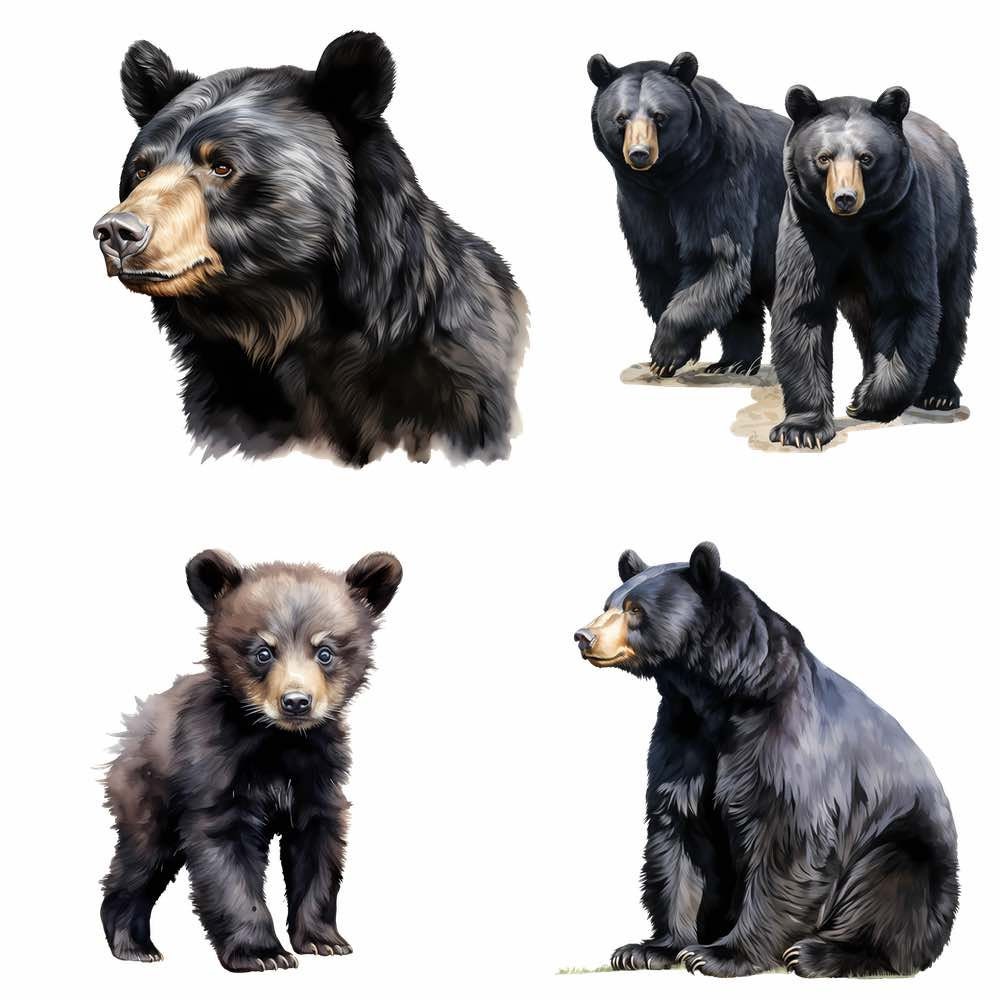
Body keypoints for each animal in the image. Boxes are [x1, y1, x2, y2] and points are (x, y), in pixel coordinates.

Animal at [101, 549, 402, 972]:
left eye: (325, 652)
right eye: (263, 652)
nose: (296, 702)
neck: (279, 744)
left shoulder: (319, 780)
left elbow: (318, 854)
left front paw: (323, 940)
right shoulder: (213, 772)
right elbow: (227, 861)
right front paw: (262, 953)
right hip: (146, 795)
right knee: (140, 862)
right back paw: (134, 946)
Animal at [573, 542, 958, 978]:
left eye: (636, 609)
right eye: (608, 604)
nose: (583, 636)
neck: (716, 694)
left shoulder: (780, 741)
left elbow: (784, 834)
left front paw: (722, 954)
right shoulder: (682, 737)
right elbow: (679, 832)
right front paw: (651, 949)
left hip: (905, 846)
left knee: (888, 892)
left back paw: (818, 954)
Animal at [588, 52, 788, 376]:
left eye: (660, 116)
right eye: (621, 118)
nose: (639, 153)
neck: (667, 176)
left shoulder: (719, 176)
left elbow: (713, 257)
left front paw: (664, 354)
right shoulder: (639, 199)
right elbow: (658, 261)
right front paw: (718, 360)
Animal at [769, 85, 976, 449]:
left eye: (866, 158)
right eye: (823, 158)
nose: (844, 198)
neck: (852, 227)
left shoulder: (903, 220)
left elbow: (908, 303)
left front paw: (866, 401)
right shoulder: (807, 225)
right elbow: (803, 310)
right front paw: (802, 428)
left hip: (956, 226)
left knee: (952, 305)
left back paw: (939, 393)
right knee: (866, 324)